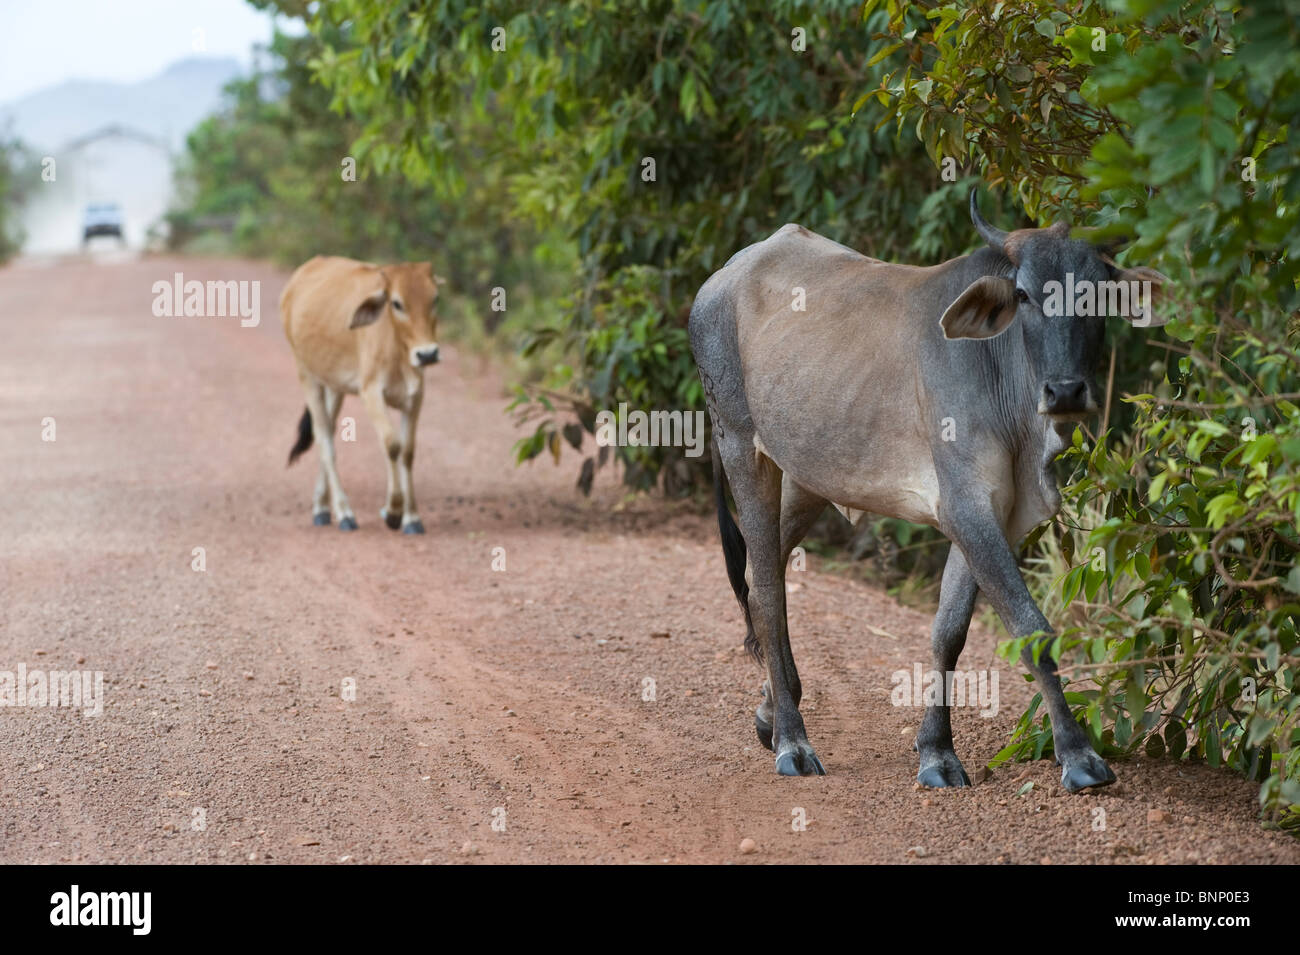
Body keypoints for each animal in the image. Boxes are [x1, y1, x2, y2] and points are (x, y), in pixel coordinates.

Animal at [280, 255, 443, 534]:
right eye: (396, 303)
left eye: (435, 299)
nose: (427, 354)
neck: (397, 349)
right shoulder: (371, 393)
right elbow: (392, 444)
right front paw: (393, 512)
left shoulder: (415, 396)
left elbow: (408, 452)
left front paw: (412, 518)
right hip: (307, 375)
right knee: (324, 439)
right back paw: (343, 512)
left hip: (334, 384)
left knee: (328, 430)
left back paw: (322, 506)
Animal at [689, 191, 1168, 792]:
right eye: (1025, 294)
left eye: (1100, 295)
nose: (1064, 392)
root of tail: (724, 276)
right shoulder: (966, 506)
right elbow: (1031, 628)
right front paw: (1079, 755)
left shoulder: (995, 516)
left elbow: (949, 633)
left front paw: (936, 752)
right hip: (740, 447)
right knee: (769, 593)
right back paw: (792, 741)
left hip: (807, 478)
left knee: (761, 573)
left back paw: (772, 711)